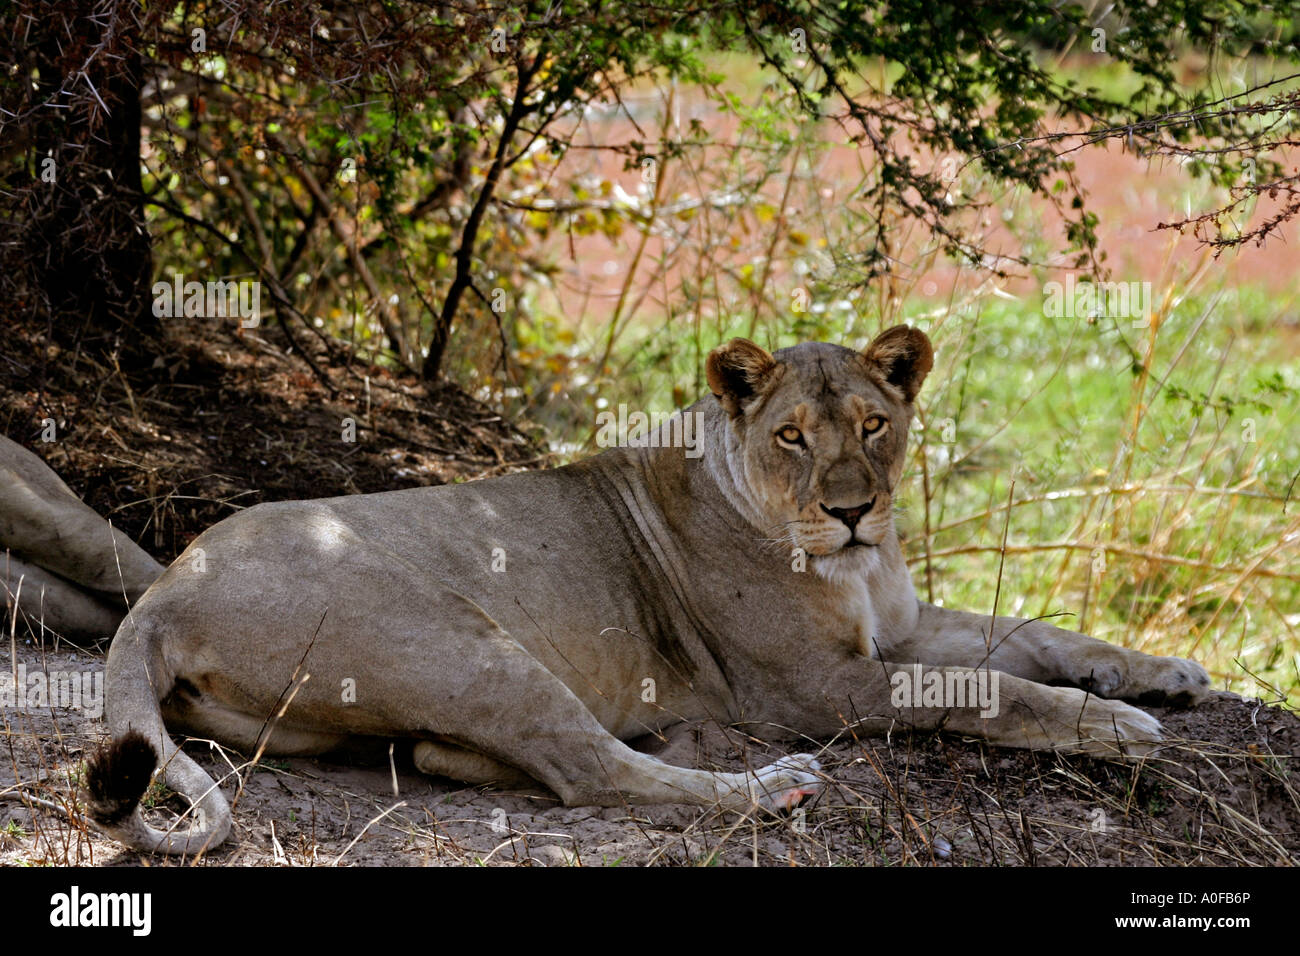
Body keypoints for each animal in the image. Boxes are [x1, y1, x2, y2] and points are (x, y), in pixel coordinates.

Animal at [9, 326, 1211, 855]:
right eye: (792, 435)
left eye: (874, 423)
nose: (853, 507)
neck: (854, 564)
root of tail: (170, 584)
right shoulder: (813, 688)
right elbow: (989, 691)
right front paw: (1115, 728)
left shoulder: (903, 626)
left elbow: (1036, 634)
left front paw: (1165, 673)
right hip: (463, 639)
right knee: (589, 769)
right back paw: (768, 790)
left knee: (476, 757)